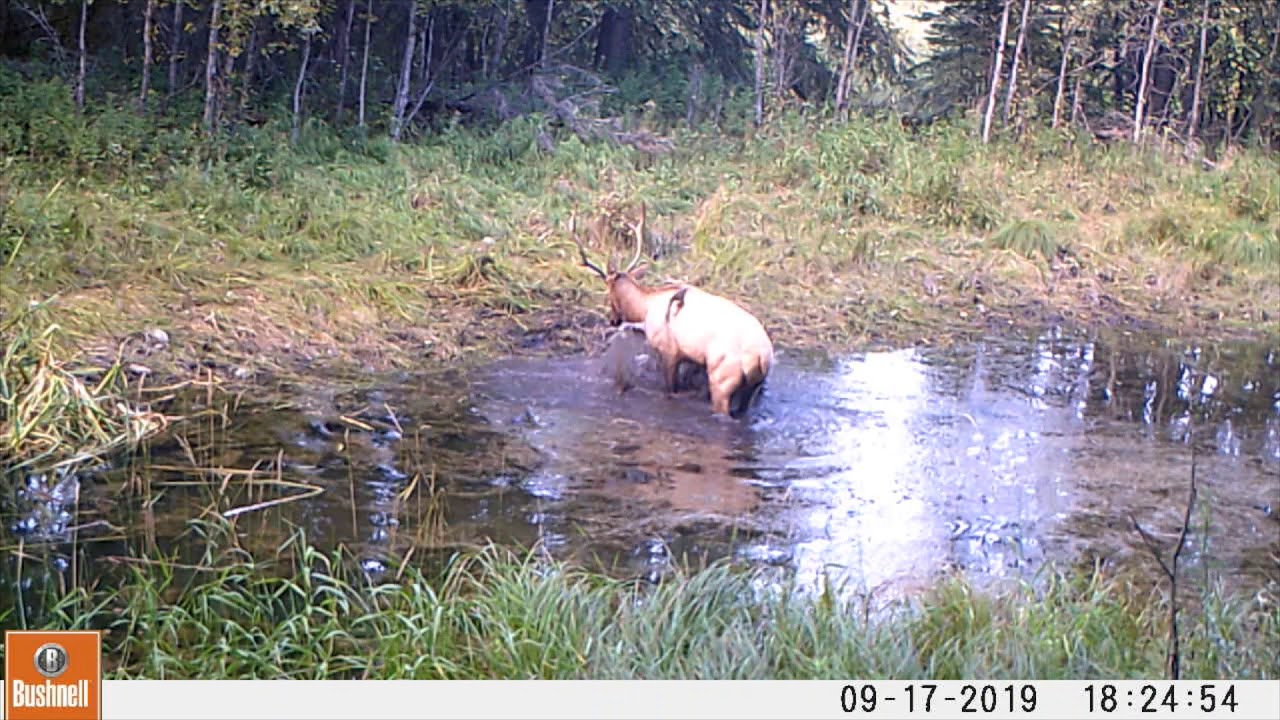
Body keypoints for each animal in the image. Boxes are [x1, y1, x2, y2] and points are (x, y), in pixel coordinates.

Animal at [571, 203, 774, 418]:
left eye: (608, 294)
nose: (613, 320)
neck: (645, 307)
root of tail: (762, 356)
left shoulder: (668, 351)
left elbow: (670, 390)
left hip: (722, 377)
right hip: (753, 387)